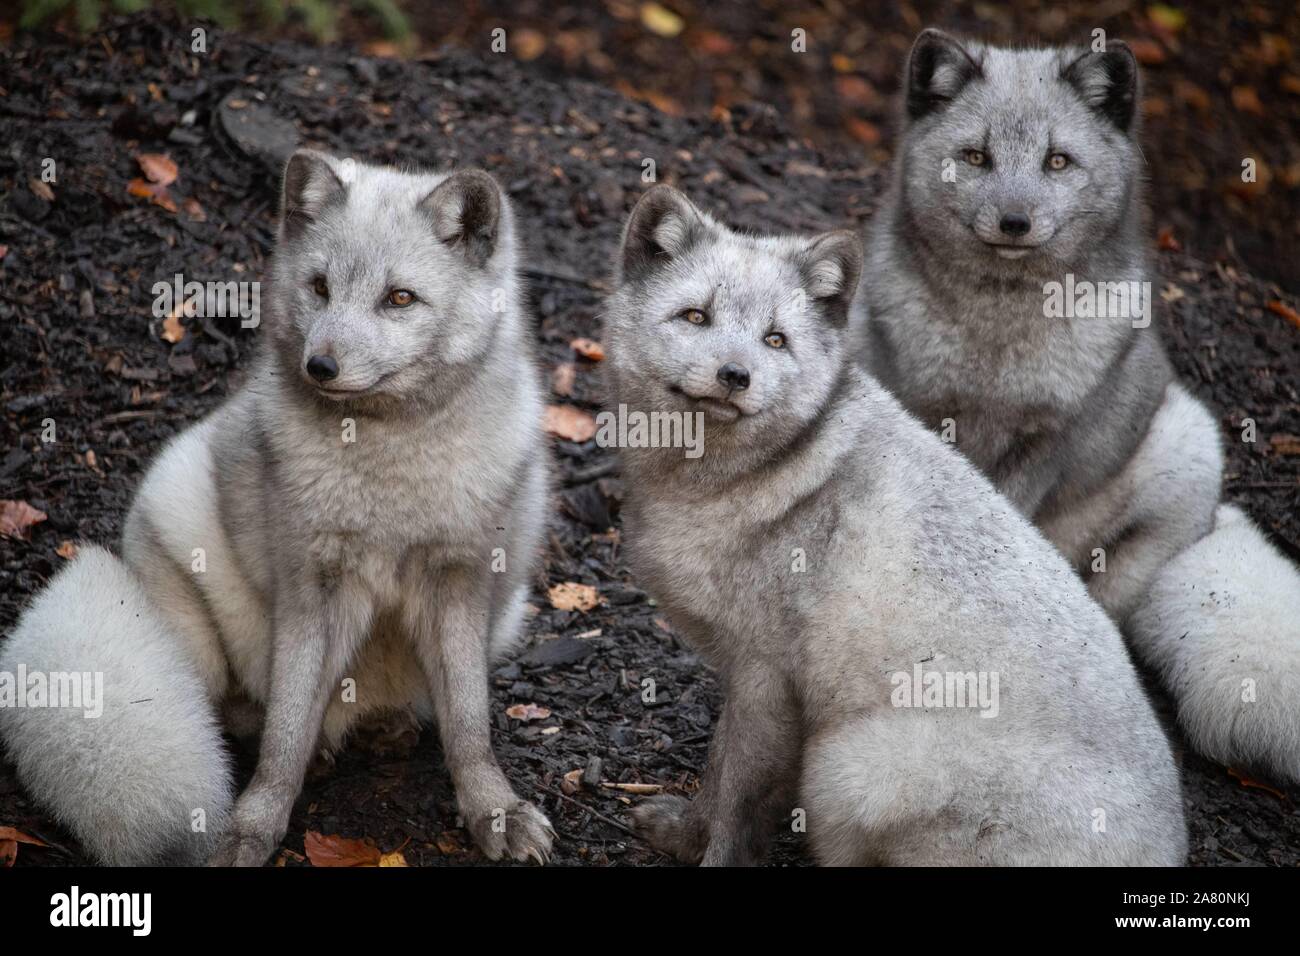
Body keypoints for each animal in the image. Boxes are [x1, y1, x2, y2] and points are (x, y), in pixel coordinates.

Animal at [0, 151, 556, 866]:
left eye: (400, 298)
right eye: (319, 287)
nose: (320, 365)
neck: (391, 473)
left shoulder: (460, 580)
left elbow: (468, 724)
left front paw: (494, 811)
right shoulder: (311, 586)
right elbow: (286, 732)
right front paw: (252, 825)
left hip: (508, 610)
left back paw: (388, 725)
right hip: (189, 570)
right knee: (236, 708)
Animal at [604, 185, 1186, 865]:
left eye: (775, 341)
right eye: (696, 317)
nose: (735, 376)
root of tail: (1170, 849)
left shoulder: (765, 678)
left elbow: (738, 802)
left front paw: (712, 854)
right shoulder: (740, 675)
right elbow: (715, 776)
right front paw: (680, 834)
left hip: (848, 768)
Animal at [853, 30, 1300, 784]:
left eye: (1057, 160)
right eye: (976, 156)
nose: (1014, 221)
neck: (993, 344)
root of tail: (1215, 520)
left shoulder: (1046, 441)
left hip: (1183, 444)